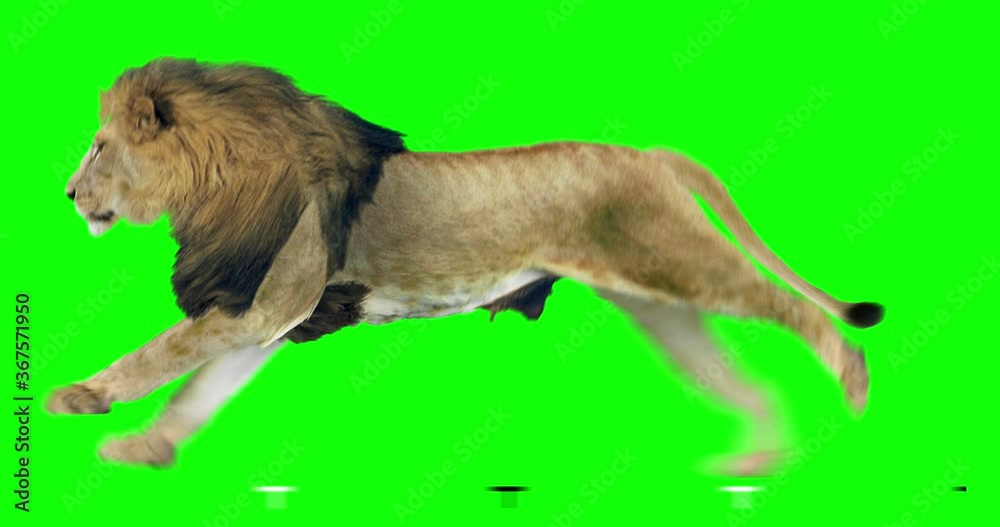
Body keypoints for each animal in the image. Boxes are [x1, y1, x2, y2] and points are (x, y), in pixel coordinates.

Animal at [51, 58, 883, 474]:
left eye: (98, 147)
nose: (66, 194)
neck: (215, 177)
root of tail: (648, 155)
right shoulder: (271, 314)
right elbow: (199, 390)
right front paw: (147, 448)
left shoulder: (265, 300)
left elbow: (160, 354)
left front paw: (83, 394)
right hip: (660, 304)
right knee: (733, 372)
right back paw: (761, 454)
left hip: (677, 262)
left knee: (790, 305)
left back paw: (853, 377)